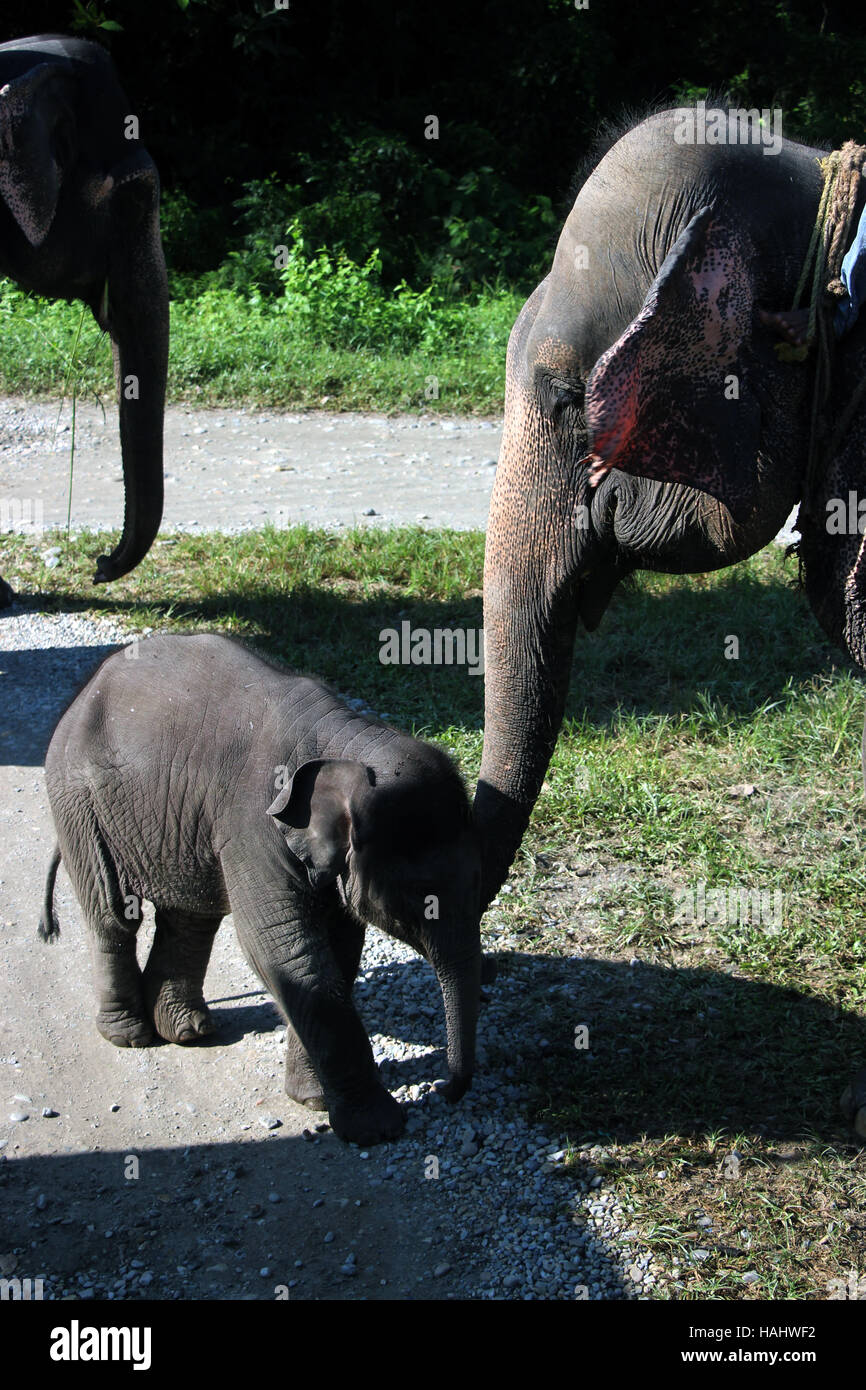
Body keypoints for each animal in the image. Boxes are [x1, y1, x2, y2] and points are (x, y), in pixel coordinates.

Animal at [39, 633, 483, 1146]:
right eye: (420, 899)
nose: (446, 1089)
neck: (350, 743)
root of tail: (85, 690)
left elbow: (337, 949)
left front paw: (313, 1100)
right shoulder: (252, 824)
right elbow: (286, 949)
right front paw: (375, 1126)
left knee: (191, 916)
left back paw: (186, 1030)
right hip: (77, 798)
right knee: (114, 914)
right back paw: (130, 1035)